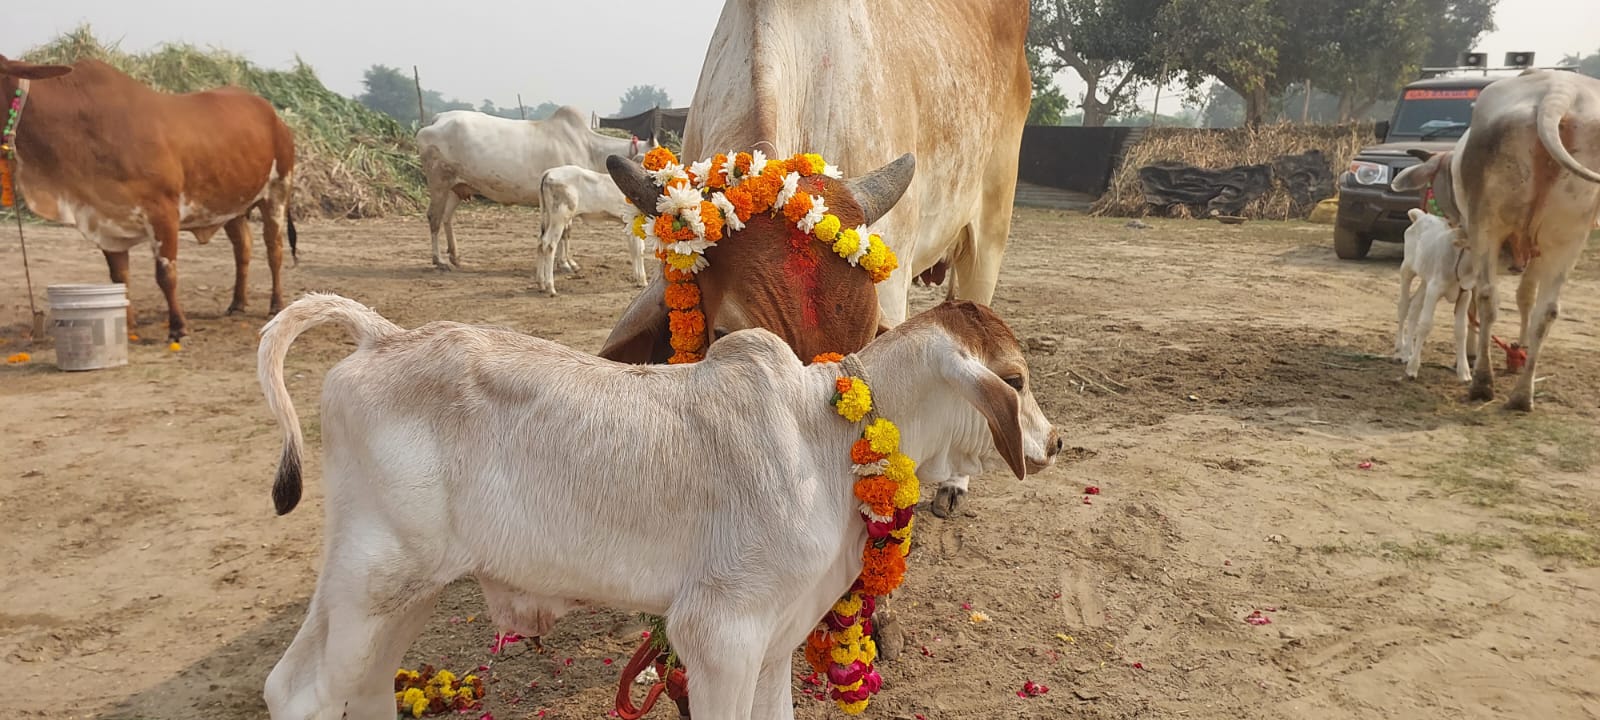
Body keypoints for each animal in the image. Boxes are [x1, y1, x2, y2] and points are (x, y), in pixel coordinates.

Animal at [0, 55, 296, 342]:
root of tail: (274, 115)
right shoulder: (106, 220)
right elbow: (119, 277)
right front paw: (127, 325)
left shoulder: (163, 212)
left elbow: (166, 273)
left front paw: (178, 327)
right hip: (232, 205)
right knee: (242, 248)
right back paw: (237, 304)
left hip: (277, 192)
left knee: (274, 250)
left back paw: (276, 304)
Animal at [256, 293, 1062, 720]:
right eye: (1017, 380)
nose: (1056, 441)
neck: (829, 437)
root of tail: (383, 337)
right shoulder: (719, 634)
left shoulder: (774, 641)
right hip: (372, 579)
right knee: (296, 692)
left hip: (401, 591)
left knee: (361, 684)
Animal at [416, 106, 651, 271]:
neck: (590, 148)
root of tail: (438, 119)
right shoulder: (564, 201)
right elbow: (564, 233)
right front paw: (566, 264)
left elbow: (565, 233)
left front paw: (567, 262)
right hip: (438, 182)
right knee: (434, 218)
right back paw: (439, 260)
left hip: (456, 186)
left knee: (447, 218)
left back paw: (455, 257)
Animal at [534, 165, 648, 296]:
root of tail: (549, 172)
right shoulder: (635, 221)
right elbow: (639, 251)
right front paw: (643, 281)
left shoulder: (627, 224)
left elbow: (633, 250)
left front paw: (636, 278)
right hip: (560, 218)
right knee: (549, 244)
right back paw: (550, 287)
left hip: (548, 217)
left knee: (540, 242)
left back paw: (541, 283)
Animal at [1393, 69, 1600, 410]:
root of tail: (1558, 92)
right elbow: (1523, 297)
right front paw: (1513, 348)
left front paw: (1474, 353)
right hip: (1566, 234)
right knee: (1542, 309)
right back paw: (1517, 393)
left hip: (1490, 223)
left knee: (1494, 297)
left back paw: (1485, 382)